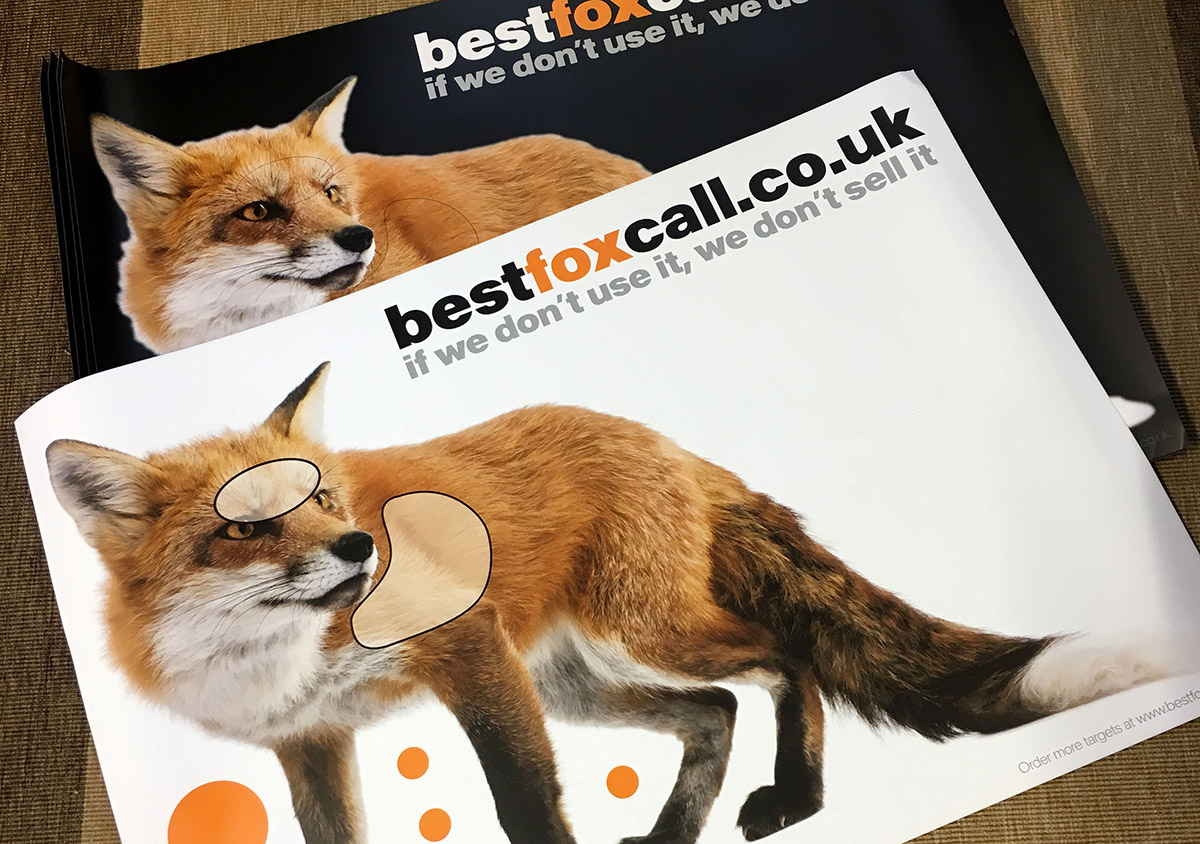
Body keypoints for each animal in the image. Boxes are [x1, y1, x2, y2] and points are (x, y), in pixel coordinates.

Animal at [45, 363, 1178, 844]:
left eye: (322, 496)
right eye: (241, 528)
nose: (362, 546)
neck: (280, 656)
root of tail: (667, 441)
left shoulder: (467, 652)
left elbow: (523, 805)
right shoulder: (312, 741)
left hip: (641, 636)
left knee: (785, 661)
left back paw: (798, 797)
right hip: (577, 682)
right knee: (714, 713)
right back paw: (677, 835)